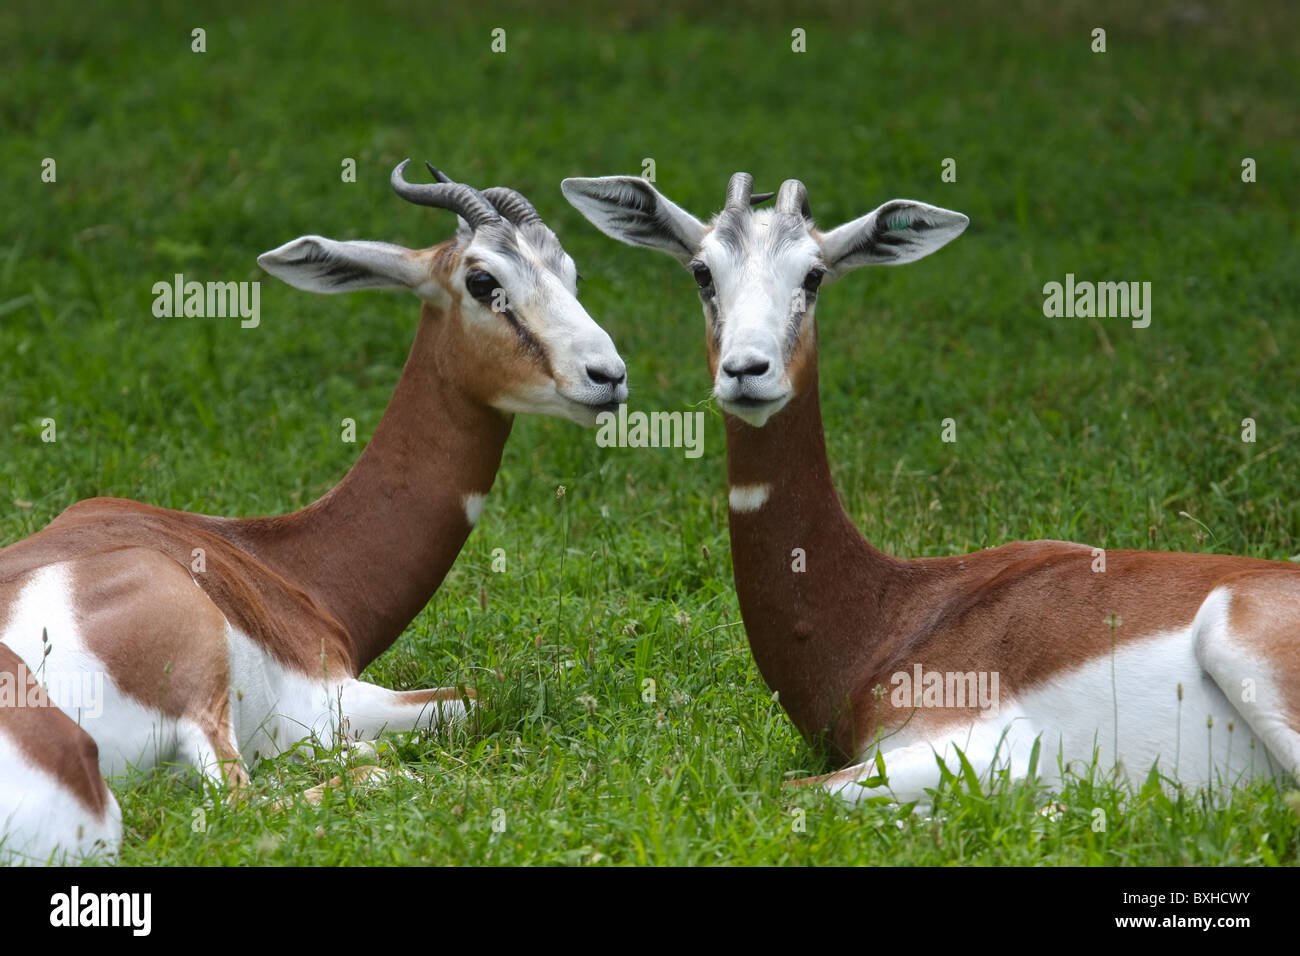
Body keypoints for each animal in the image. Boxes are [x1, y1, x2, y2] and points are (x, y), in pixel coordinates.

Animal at [0, 161, 626, 863]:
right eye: (483, 280)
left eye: (569, 271)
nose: (608, 376)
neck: (287, 568)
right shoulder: (331, 698)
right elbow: (485, 695)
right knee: (250, 802)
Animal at [563, 171, 1300, 803]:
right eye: (701, 272)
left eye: (813, 274)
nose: (747, 370)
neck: (887, 619)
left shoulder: (984, 749)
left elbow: (785, 794)